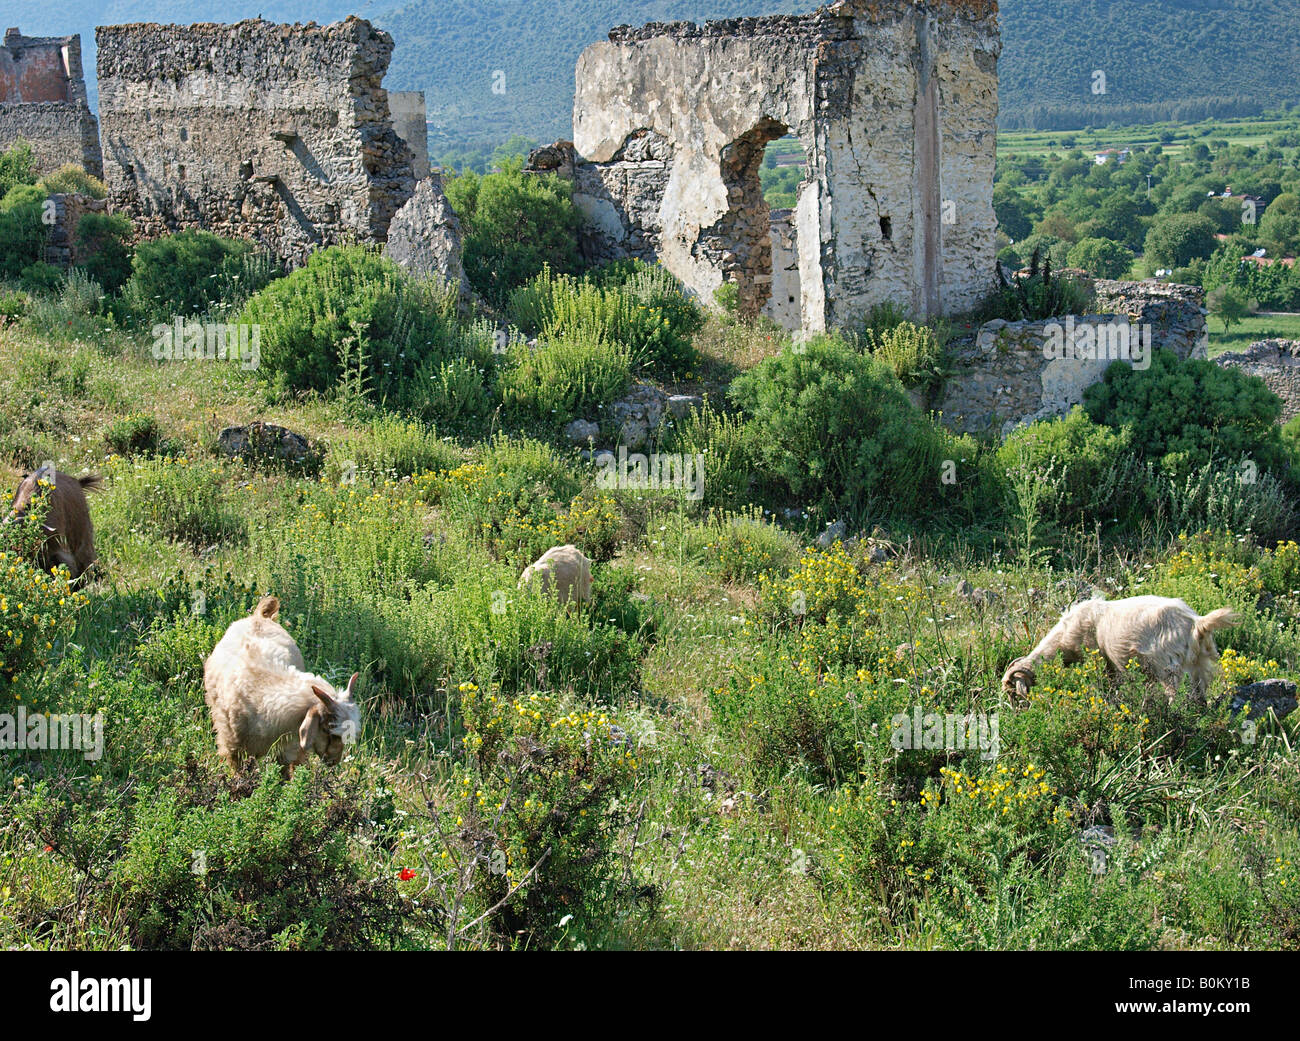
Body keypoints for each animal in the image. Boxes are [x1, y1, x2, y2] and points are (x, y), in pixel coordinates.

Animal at [1002, 594, 1239, 705]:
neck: (1064, 637)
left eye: (1014, 693)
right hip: (1200, 663)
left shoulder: (1096, 659)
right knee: (1200, 693)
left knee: (1174, 694)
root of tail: (1195, 622)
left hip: (1167, 665)